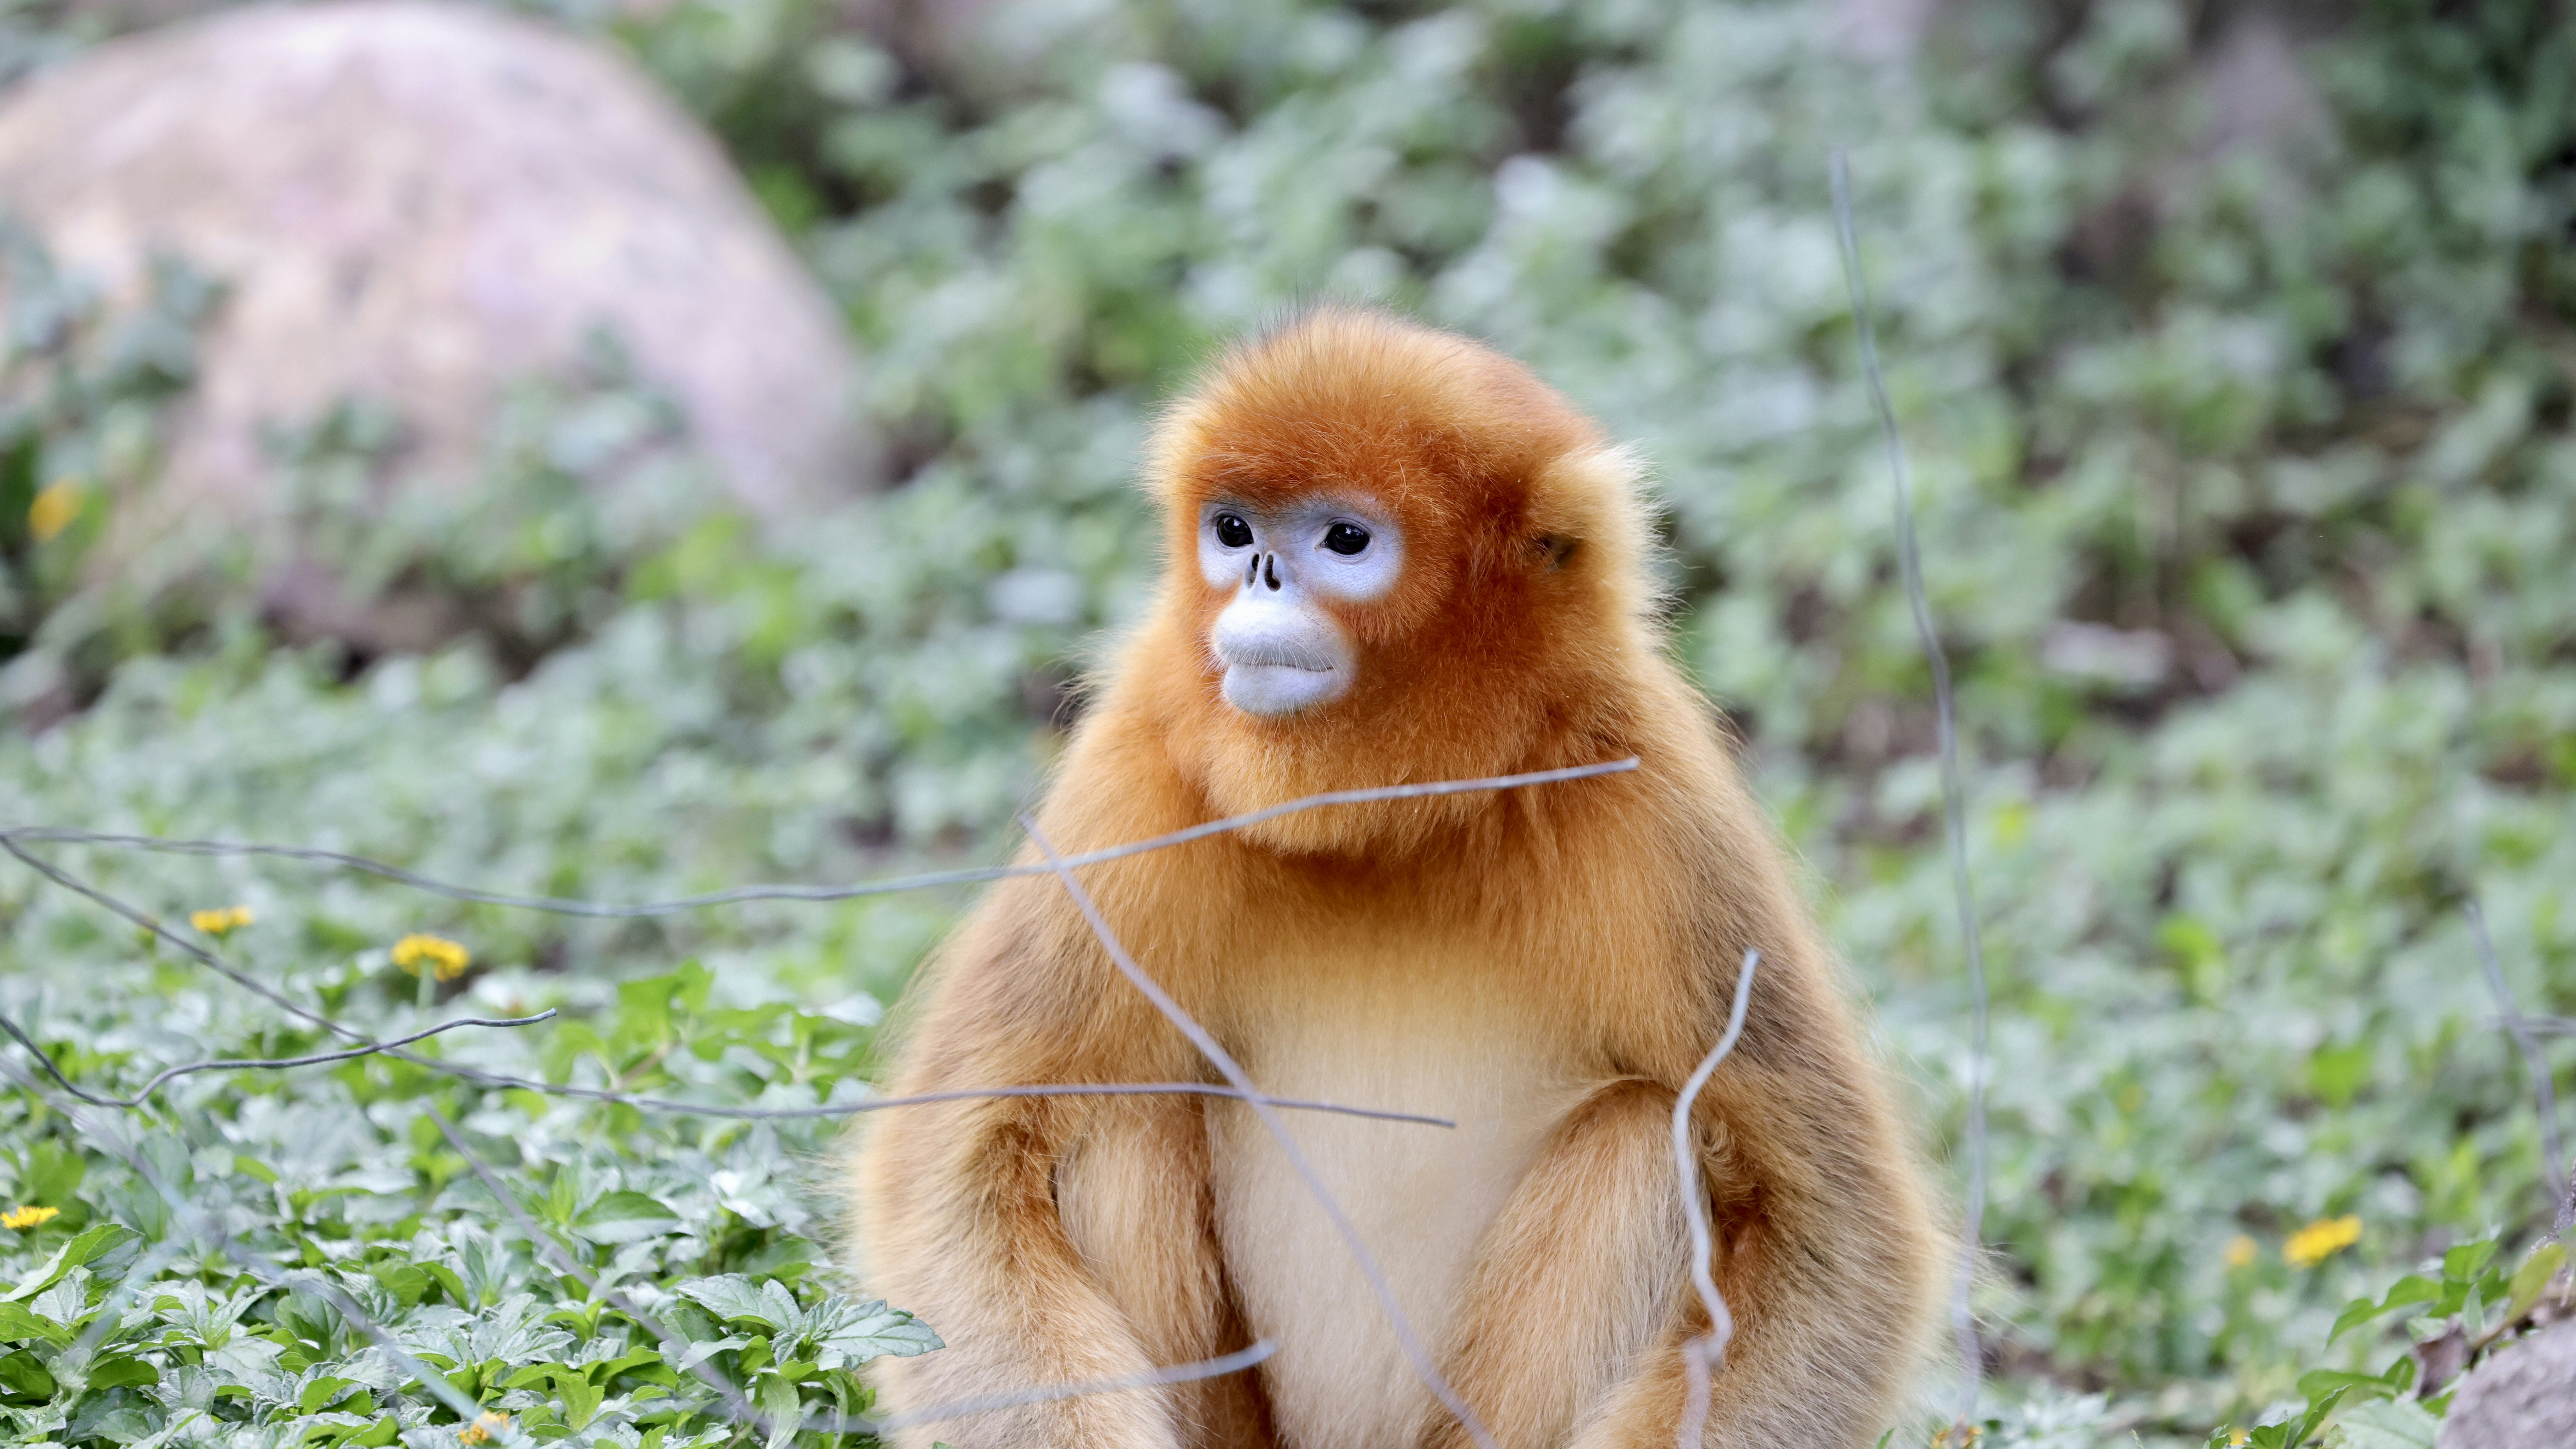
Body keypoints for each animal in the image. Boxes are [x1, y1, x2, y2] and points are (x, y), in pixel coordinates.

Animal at [846, 306, 1942, 1449]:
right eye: (1232, 530)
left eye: (1344, 540)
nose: (1260, 577)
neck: (1389, 822)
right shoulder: (1141, 769)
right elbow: (954, 1170)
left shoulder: (1654, 803)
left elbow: (1835, 1237)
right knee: (1108, 1118)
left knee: (1652, 1141)